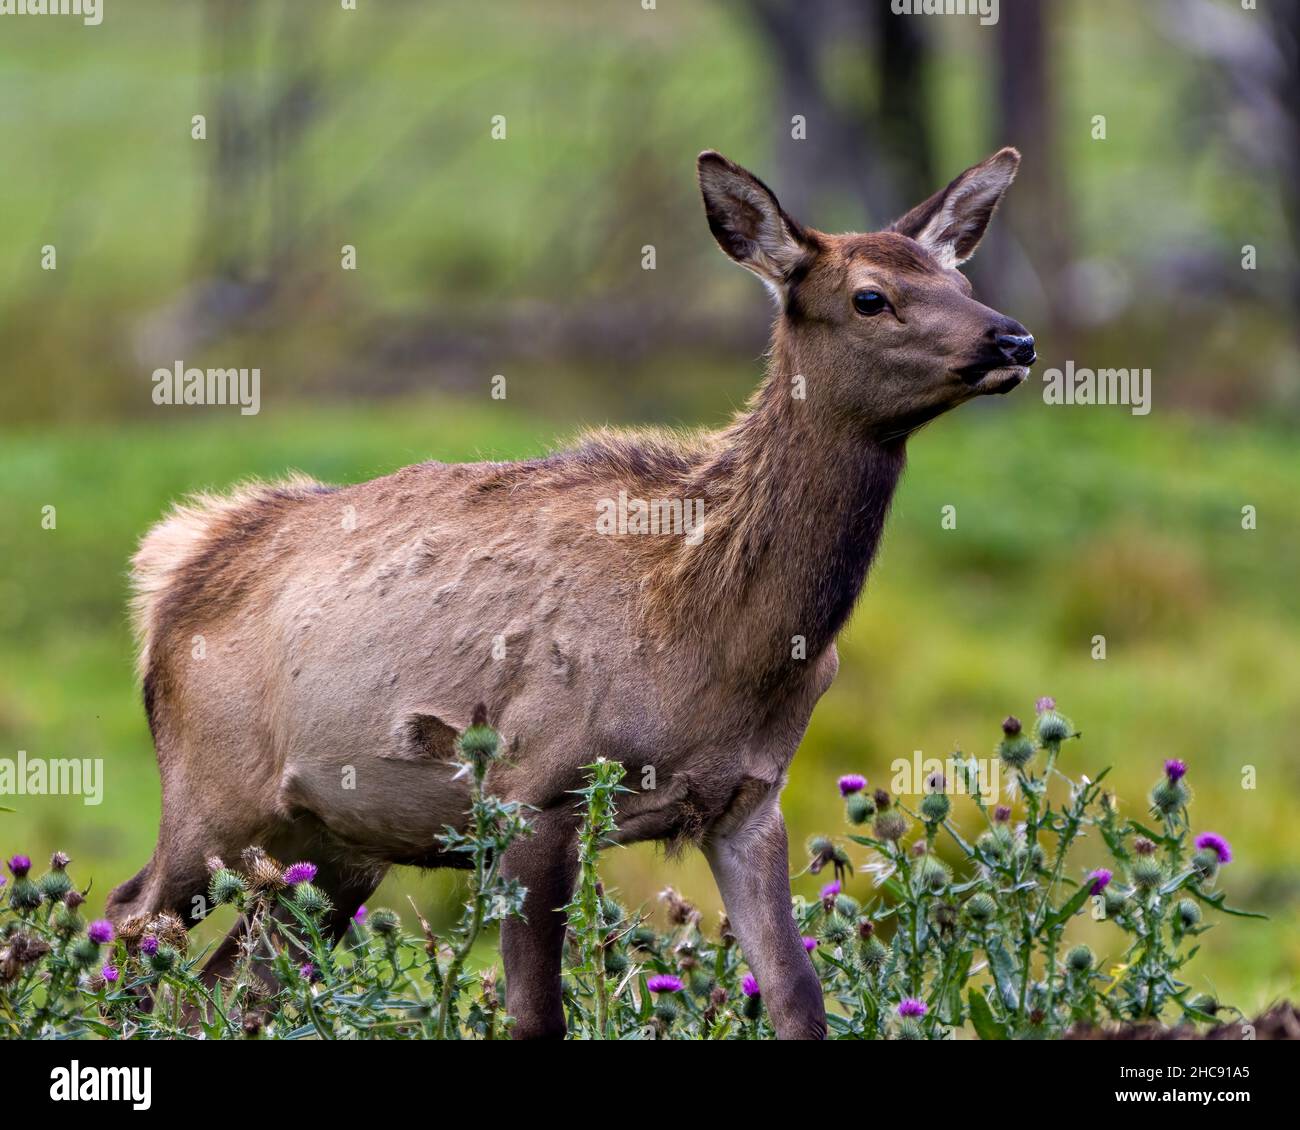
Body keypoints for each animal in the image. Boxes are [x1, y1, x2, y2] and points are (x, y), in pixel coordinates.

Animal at [107, 147, 1035, 1040]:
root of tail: (171, 568)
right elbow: (535, 1014)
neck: (714, 632)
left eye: (961, 282)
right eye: (870, 297)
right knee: (128, 926)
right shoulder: (536, 785)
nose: (1015, 339)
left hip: (335, 844)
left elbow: (797, 1000)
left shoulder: (749, 801)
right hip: (210, 794)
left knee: (225, 984)